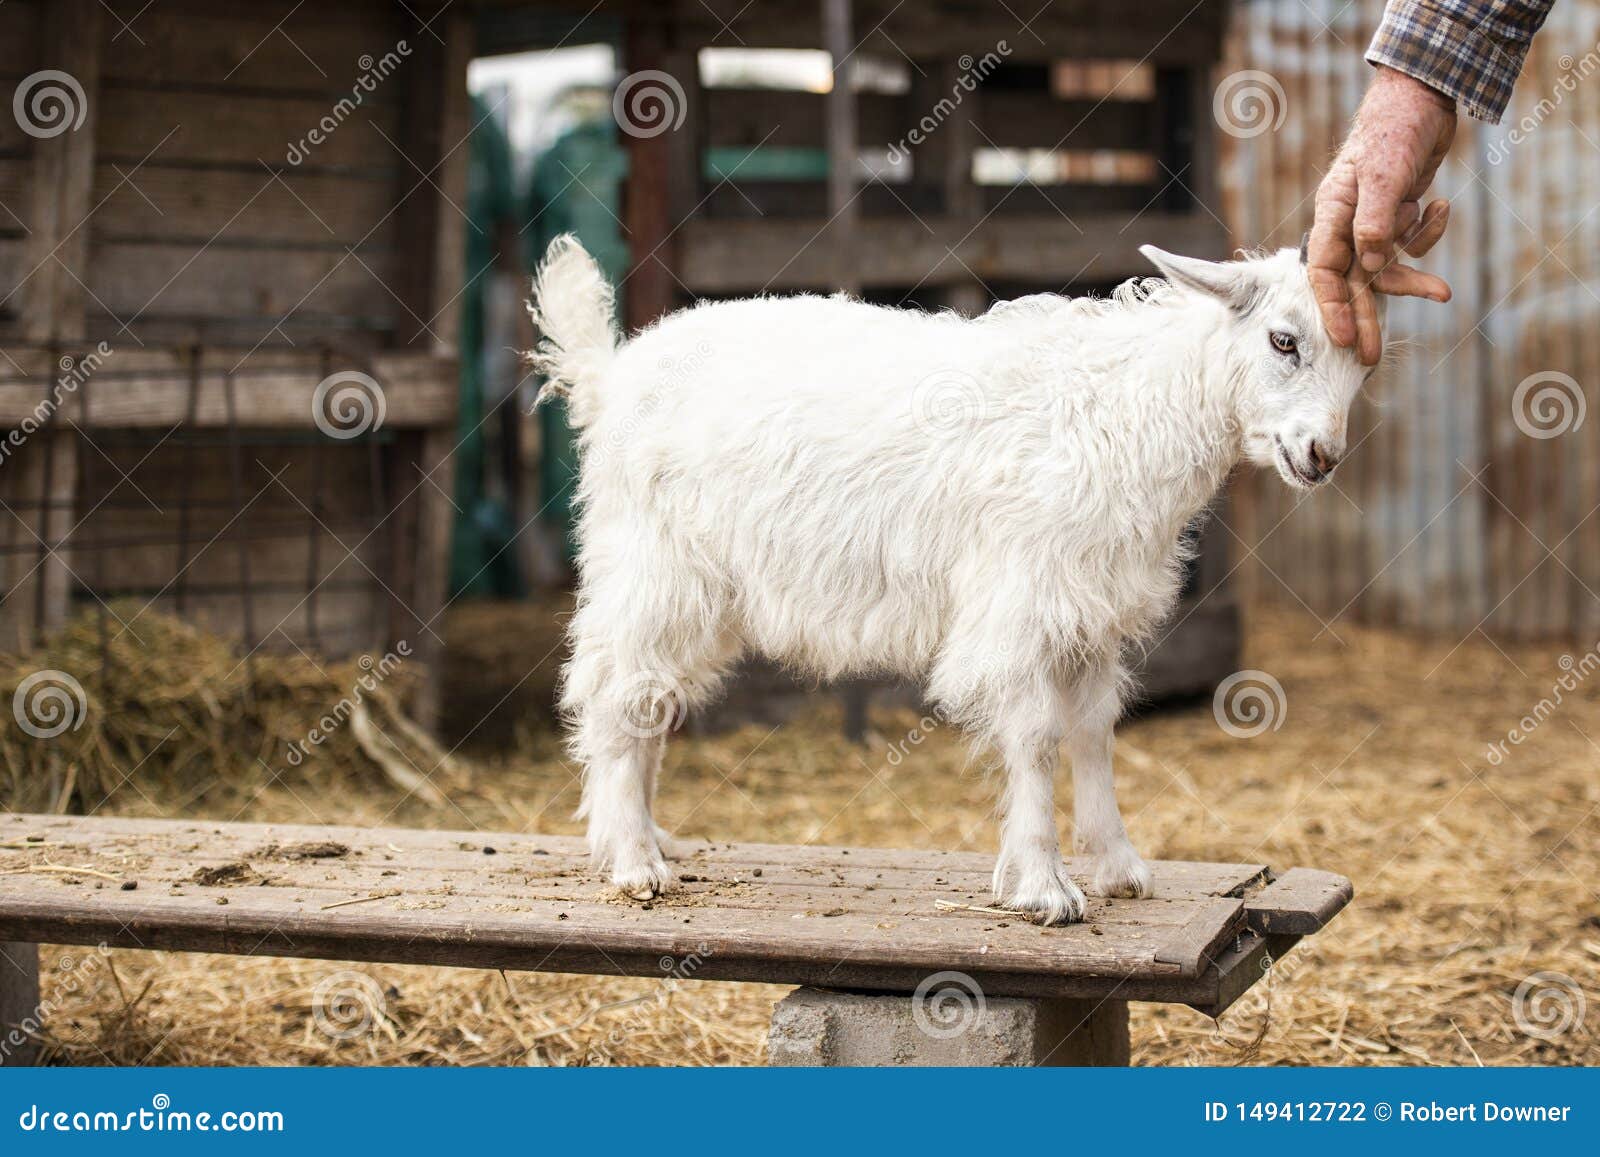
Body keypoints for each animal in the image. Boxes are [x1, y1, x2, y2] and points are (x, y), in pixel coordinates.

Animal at [528, 236, 1367, 924]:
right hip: (656, 568)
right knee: (616, 695)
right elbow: (1035, 736)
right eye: (1283, 340)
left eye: (1362, 362)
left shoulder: (1088, 611)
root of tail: (611, 376)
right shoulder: (1020, 600)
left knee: (648, 700)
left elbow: (1093, 732)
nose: (1322, 455)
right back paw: (634, 862)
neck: (1123, 408)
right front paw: (1043, 885)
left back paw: (644, 837)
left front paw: (1118, 866)